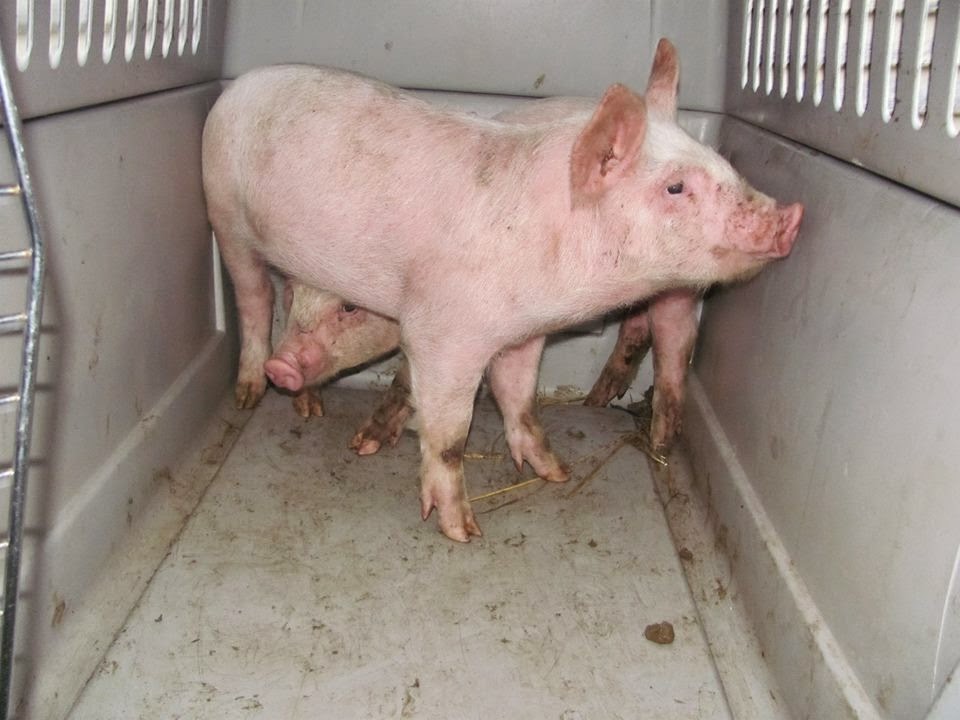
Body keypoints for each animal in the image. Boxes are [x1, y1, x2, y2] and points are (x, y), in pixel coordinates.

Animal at [203, 38, 803, 542]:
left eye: (725, 165)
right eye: (675, 187)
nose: (792, 215)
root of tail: (242, 83)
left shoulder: (521, 333)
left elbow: (520, 399)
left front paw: (556, 473)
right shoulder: (442, 332)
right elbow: (450, 432)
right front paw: (463, 532)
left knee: (670, 342)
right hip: (224, 215)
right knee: (252, 299)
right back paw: (251, 391)